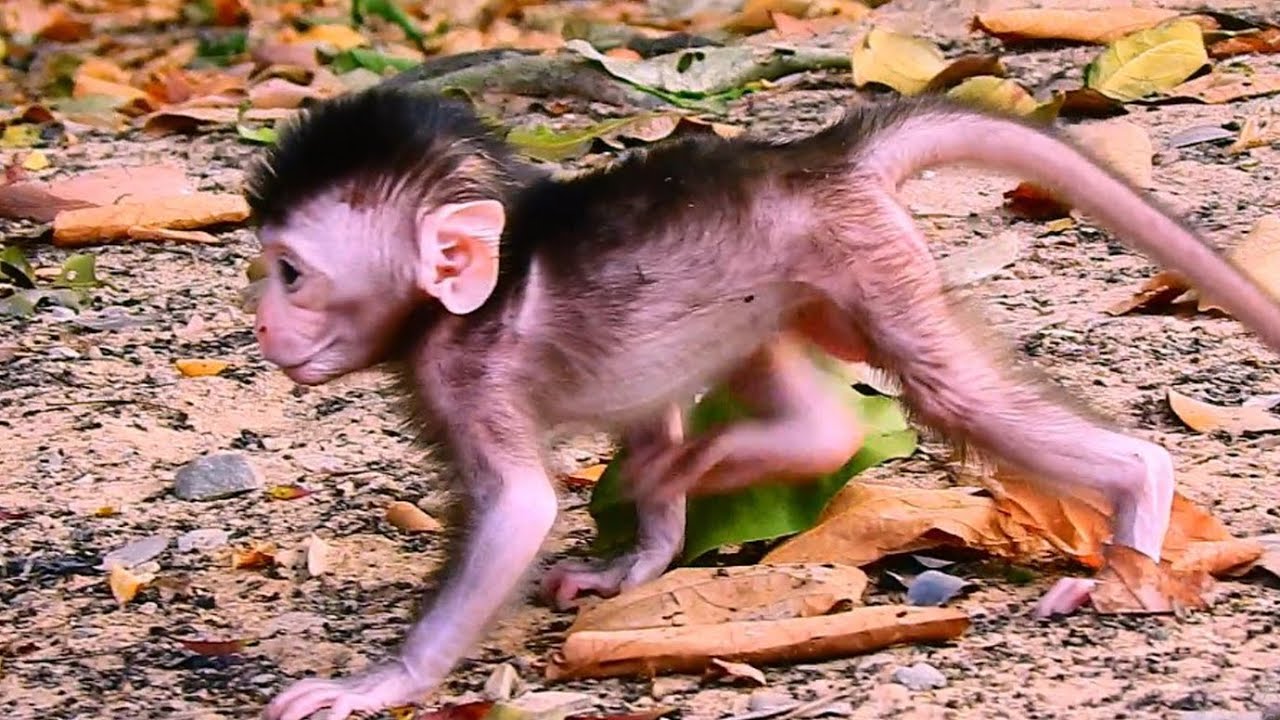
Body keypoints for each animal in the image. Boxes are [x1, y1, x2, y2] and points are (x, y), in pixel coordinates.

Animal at [244, 84, 1280, 720]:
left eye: (291, 274)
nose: (261, 325)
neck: (463, 298)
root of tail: (813, 157)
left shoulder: (465, 372)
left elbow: (520, 509)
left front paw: (383, 682)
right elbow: (640, 404)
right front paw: (639, 560)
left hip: (860, 255)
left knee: (945, 390)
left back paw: (1136, 508)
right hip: (791, 283)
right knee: (793, 404)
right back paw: (714, 463)